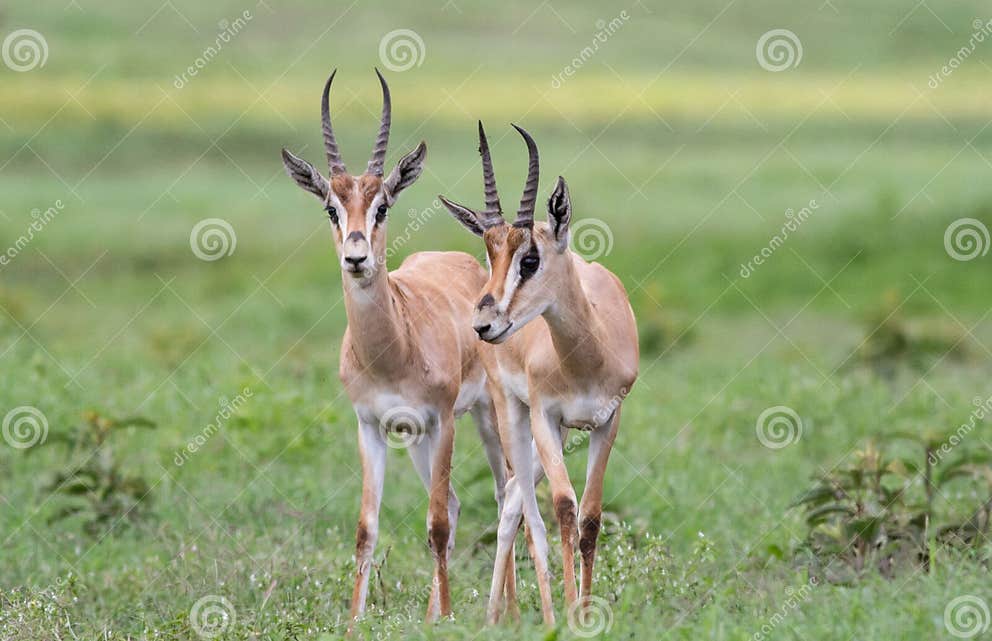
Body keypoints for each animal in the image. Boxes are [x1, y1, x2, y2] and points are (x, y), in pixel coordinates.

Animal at [279, 70, 513, 625]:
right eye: (331, 208)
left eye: (382, 205)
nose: (356, 257)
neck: (391, 351)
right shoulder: (370, 425)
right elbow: (367, 529)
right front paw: (353, 623)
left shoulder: (443, 420)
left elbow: (438, 525)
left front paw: (446, 620)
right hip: (416, 437)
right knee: (454, 501)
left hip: (486, 416)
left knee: (500, 494)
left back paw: (502, 611)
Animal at [439, 123, 638, 624]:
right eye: (490, 257)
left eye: (530, 259)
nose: (483, 324)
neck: (588, 358)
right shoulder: (544, 416)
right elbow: (562, 510)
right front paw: (567, 615)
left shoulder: (607, 420)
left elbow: (590, 518)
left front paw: (585, 613)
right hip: (511, 413)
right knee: (524, 514)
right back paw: (511, 616)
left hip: (560, 432)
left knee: (513, 500)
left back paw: (498, 616)